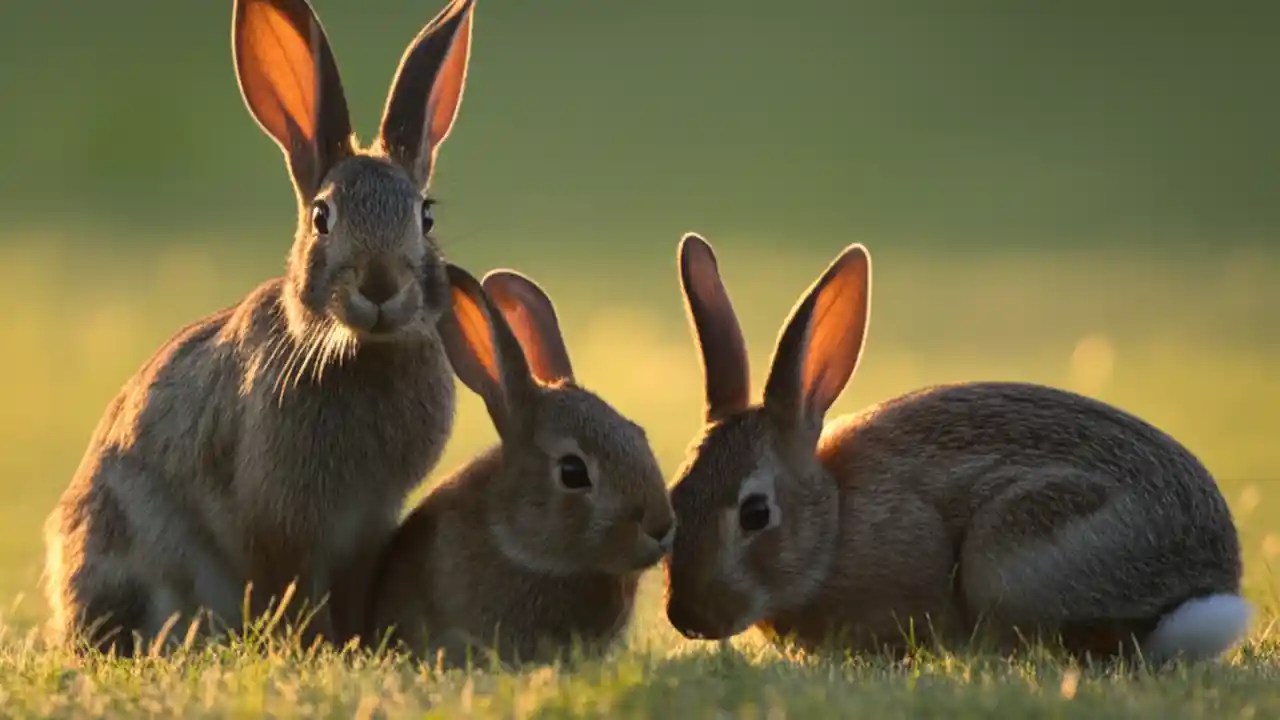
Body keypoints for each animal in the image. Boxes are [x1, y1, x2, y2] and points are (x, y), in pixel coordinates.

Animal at [42, 0, 477, 654]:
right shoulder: (283, 519)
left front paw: (356, 646)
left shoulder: (369, 522)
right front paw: (318, 647)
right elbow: (294, 588)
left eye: (424, 217)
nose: (379, 286)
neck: (358, 348)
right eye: (322, 217)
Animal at [663, 232, 1250, 664]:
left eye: (756, 513)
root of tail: (1206, 577)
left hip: (1018, 550)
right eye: (677, 497)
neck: (835, 521)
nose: (687, 619)